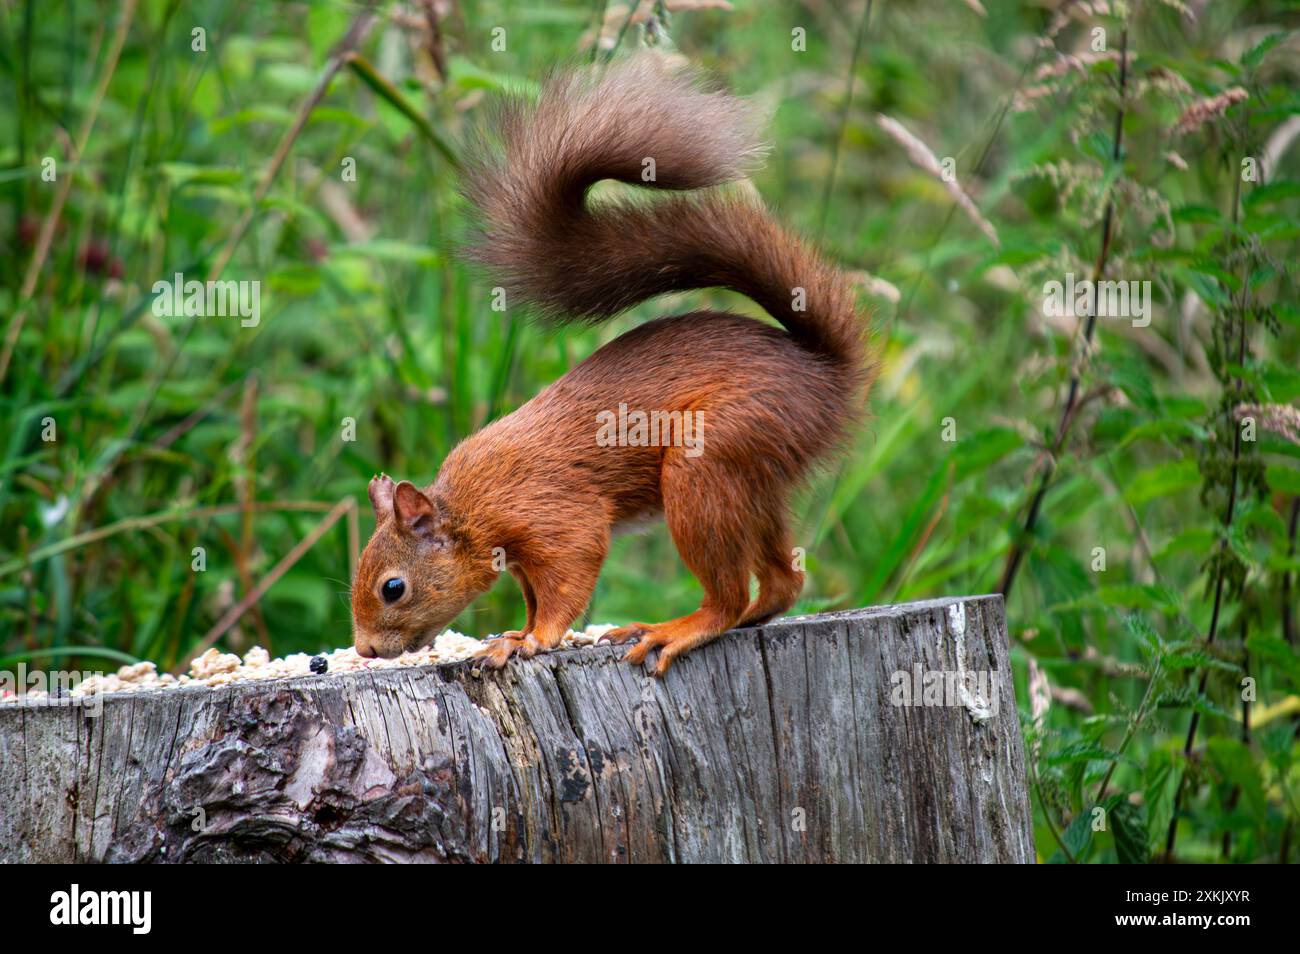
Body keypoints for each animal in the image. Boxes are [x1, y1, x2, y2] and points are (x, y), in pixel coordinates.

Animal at [351, 55, 877, 676]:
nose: (366, 649)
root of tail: (826, 372)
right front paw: (516, 632)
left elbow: (566, 583)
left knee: (728, 596)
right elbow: (533, 595)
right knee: (782, 583)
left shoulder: (557, 518)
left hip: (709, 461)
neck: (472, 509)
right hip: (757, 480)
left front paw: (534, 640)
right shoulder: (524, 554)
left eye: (393, 588)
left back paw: (677, 629)